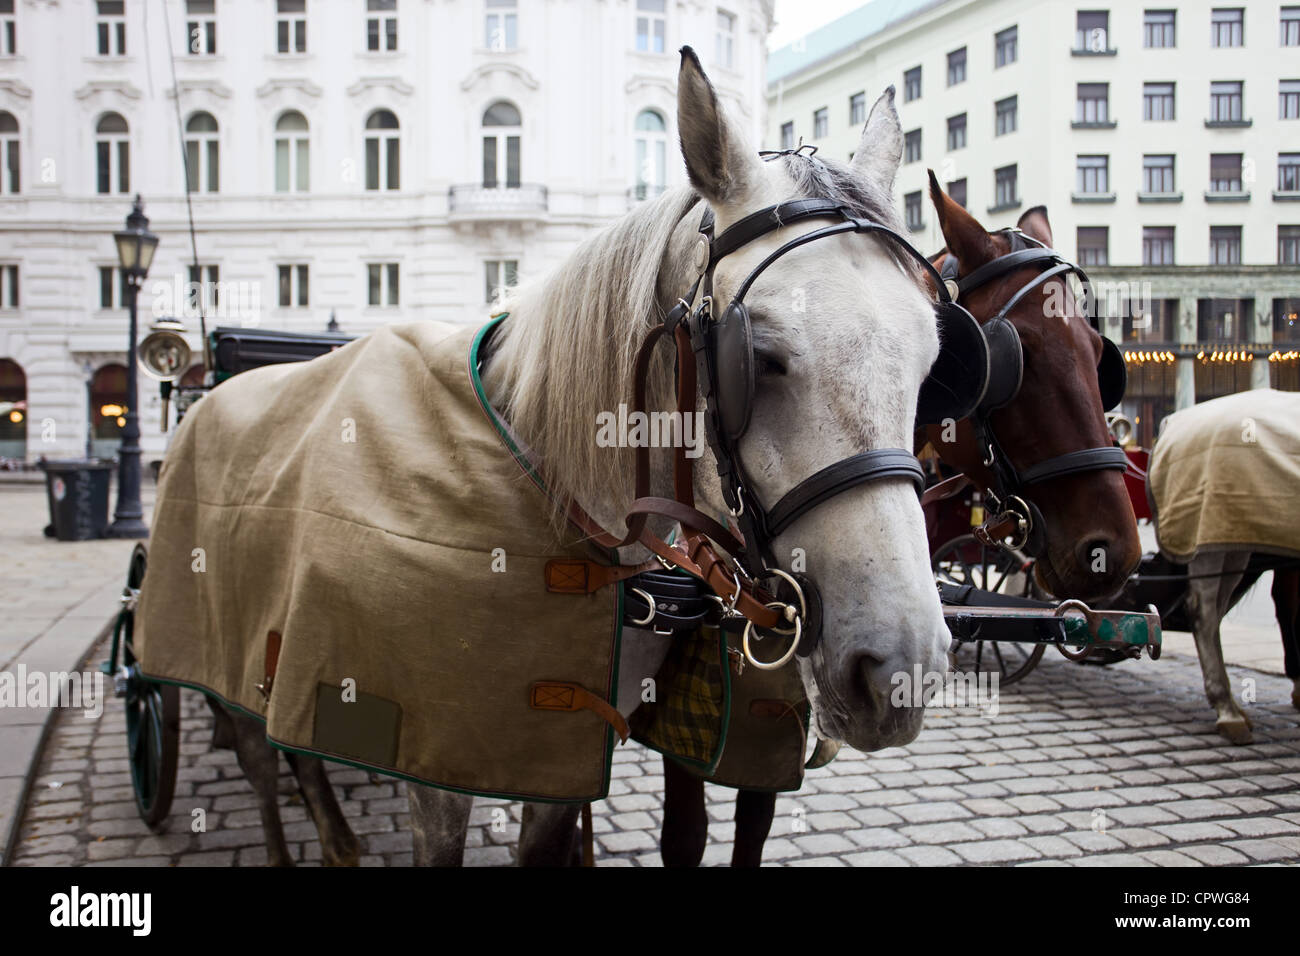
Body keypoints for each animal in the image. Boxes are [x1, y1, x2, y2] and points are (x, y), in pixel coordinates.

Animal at [177, 48, 951, 866]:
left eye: (934, 360)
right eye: (760, 358)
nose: (902, 668)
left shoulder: (560, 750)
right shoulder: (432, 769)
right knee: (262, 757)